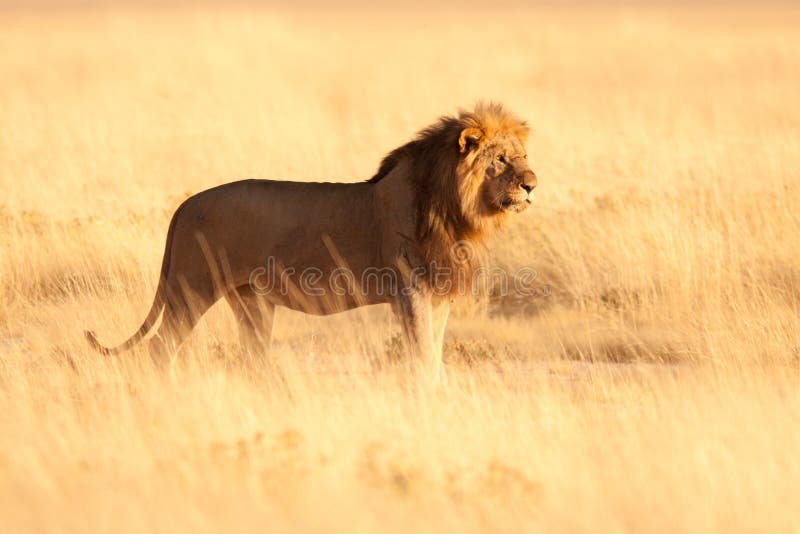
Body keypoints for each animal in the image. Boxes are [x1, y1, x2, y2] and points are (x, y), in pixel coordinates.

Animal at [85, 102, 537, 377]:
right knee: (161, 348)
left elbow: (436, 358)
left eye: (524, 157)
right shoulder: (411, 291)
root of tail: (184, 205)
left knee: (251, 356)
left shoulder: (438, 294)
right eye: (500, 159)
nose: (532, 184)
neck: (453, 208)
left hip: (250, 300)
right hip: (191, 289)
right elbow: (423, 357)